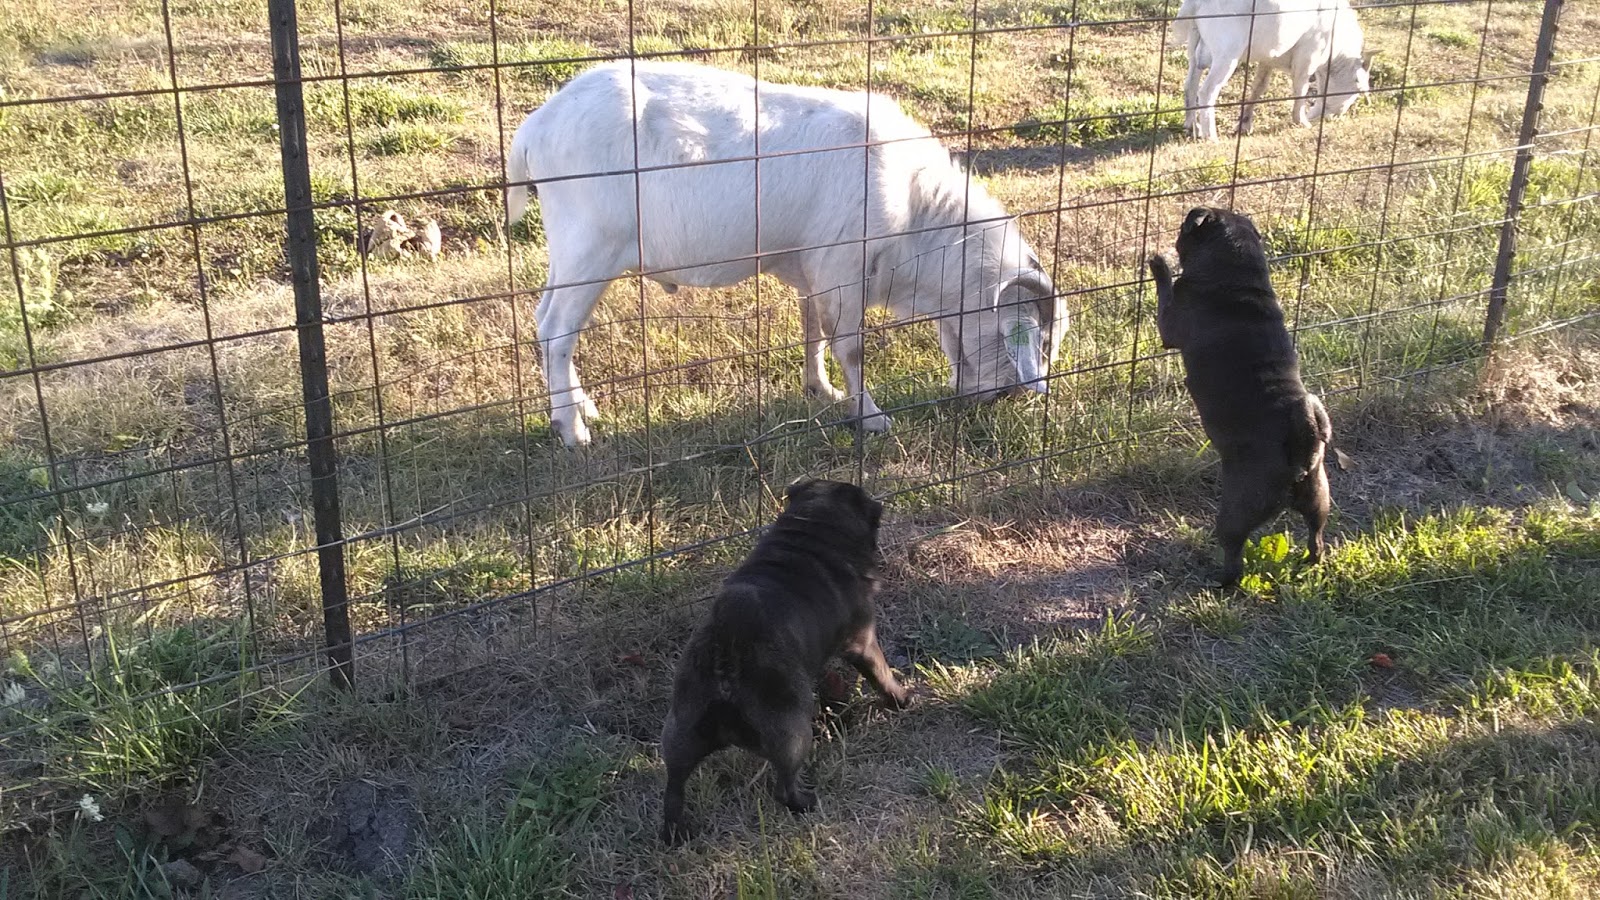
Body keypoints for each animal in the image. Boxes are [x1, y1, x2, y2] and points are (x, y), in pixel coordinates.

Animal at [506, 60, 1066, 448]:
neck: (918, 211)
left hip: (567, 250)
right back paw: (572, 430)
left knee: (542, 319)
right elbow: (851, 348)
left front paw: (821, 390)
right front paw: (870, 416)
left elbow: (812, 328)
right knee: (558, 331)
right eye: (1036, 342)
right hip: (591, 248)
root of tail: (536, 127)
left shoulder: (813, 268)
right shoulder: (843, 268)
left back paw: (581, 406)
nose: (996, 401)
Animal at [1173, 0, 1374, 140]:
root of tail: (1196, 4)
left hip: (1194, 41)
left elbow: (1259, 87)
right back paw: (1210, 136)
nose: (1335, 116)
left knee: (1190, 84)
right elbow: (1301, 88)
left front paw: (1245, 124)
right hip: (1227, 52)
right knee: (1206, 91)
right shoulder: (1308, 54)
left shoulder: (1267, 59)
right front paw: (1301, 121)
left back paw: (1192, 126)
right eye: (1357, 90)